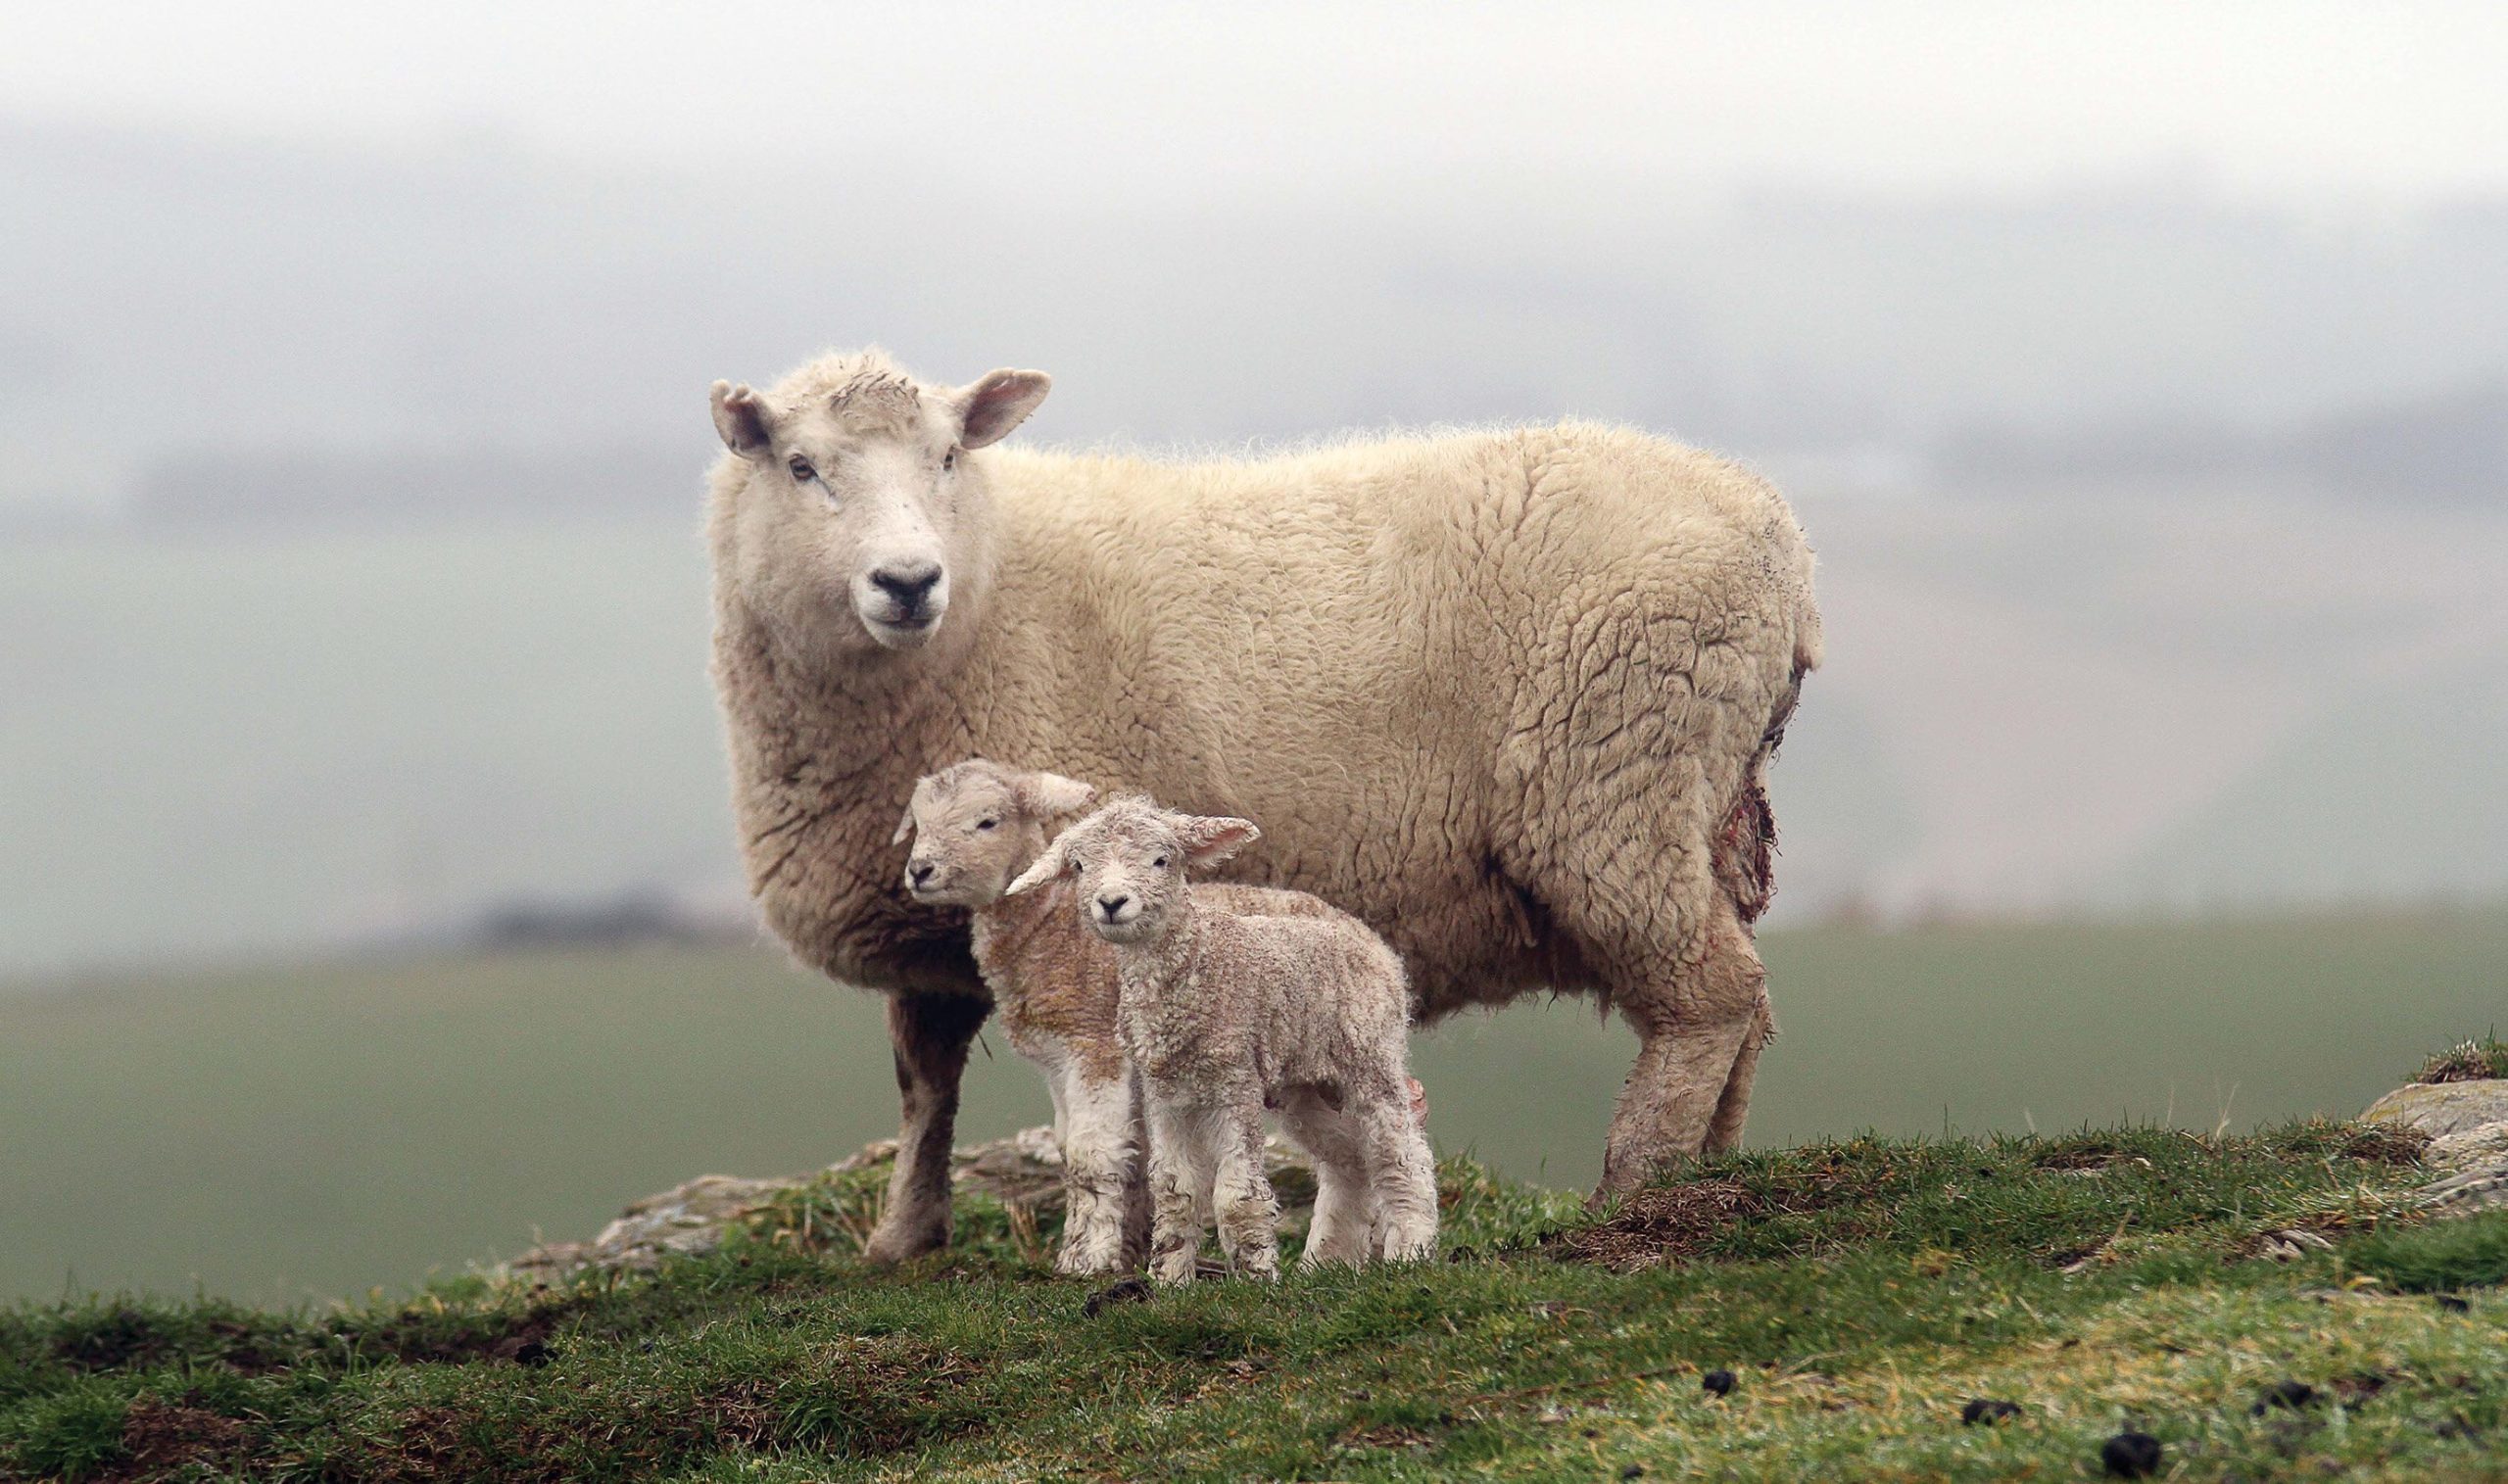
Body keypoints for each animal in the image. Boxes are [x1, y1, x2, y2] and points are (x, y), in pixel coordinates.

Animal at [892, 757, 1343, 1274]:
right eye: (918, 822)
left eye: (988, 821)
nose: (920, 871)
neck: (1051, 929)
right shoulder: (1057, 1060)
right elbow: (1066, 1150)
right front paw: (1073, 1252)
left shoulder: (1094, 1046)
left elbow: (1091, 1153)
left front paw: (1092, 1258)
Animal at [1007, 797, 1438, 1283]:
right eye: (1080, 866)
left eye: (1162, 860)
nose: (1111, 902)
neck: (1199, 962)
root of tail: (1376, 947)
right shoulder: (1165, 1096)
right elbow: (1175, 1191)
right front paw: (1169, 1279)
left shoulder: (1235, 1087)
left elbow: (1237, 1197)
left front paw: (1255, 1277)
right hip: (1306, 1086)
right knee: (1349, 1161)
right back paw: (1326, 1261)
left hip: (1370, 1058)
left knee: (1401, 1155)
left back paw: (1411, 1251)